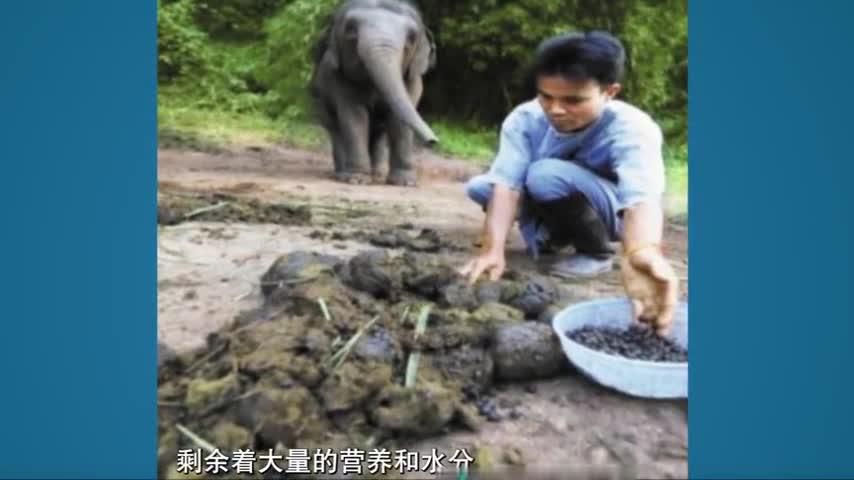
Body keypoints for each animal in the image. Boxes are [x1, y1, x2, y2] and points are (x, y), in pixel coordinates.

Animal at [309, 0, 439, 186]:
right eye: (351, 31)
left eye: (411, 38)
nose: (433, 141)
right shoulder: (339, 79)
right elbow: (355, 117)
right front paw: (357, 180)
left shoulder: (413, 82)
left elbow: (399, 121)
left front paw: (406, 183)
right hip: (320, 100)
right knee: (336, 129)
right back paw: (343, 174)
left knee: (378, 134)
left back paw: (377, 175)